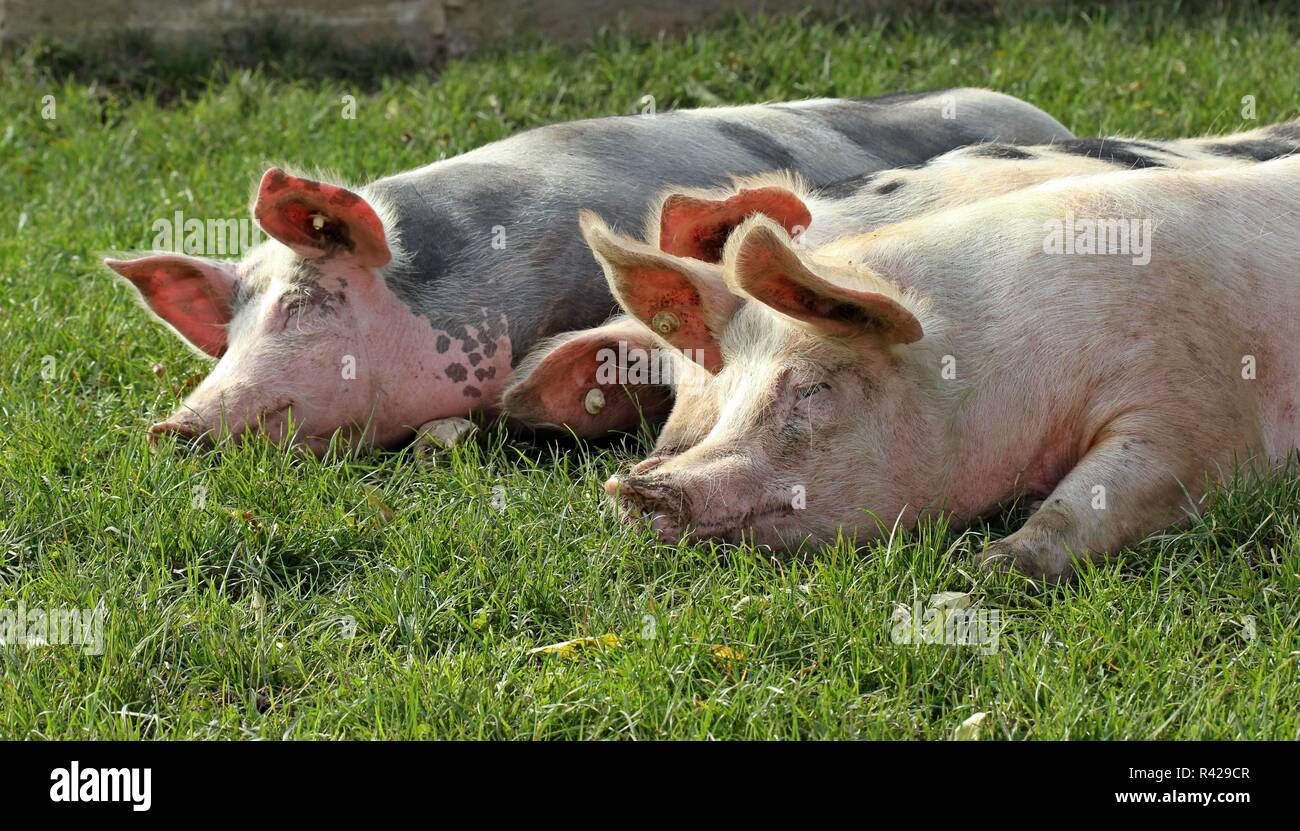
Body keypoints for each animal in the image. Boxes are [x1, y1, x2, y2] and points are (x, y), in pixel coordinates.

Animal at [600, 153, 1300, 583]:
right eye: (725, 396)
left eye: (813, 389)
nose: (634, 487)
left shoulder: (1193, 402)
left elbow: (1104, 493)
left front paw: (987, 569)